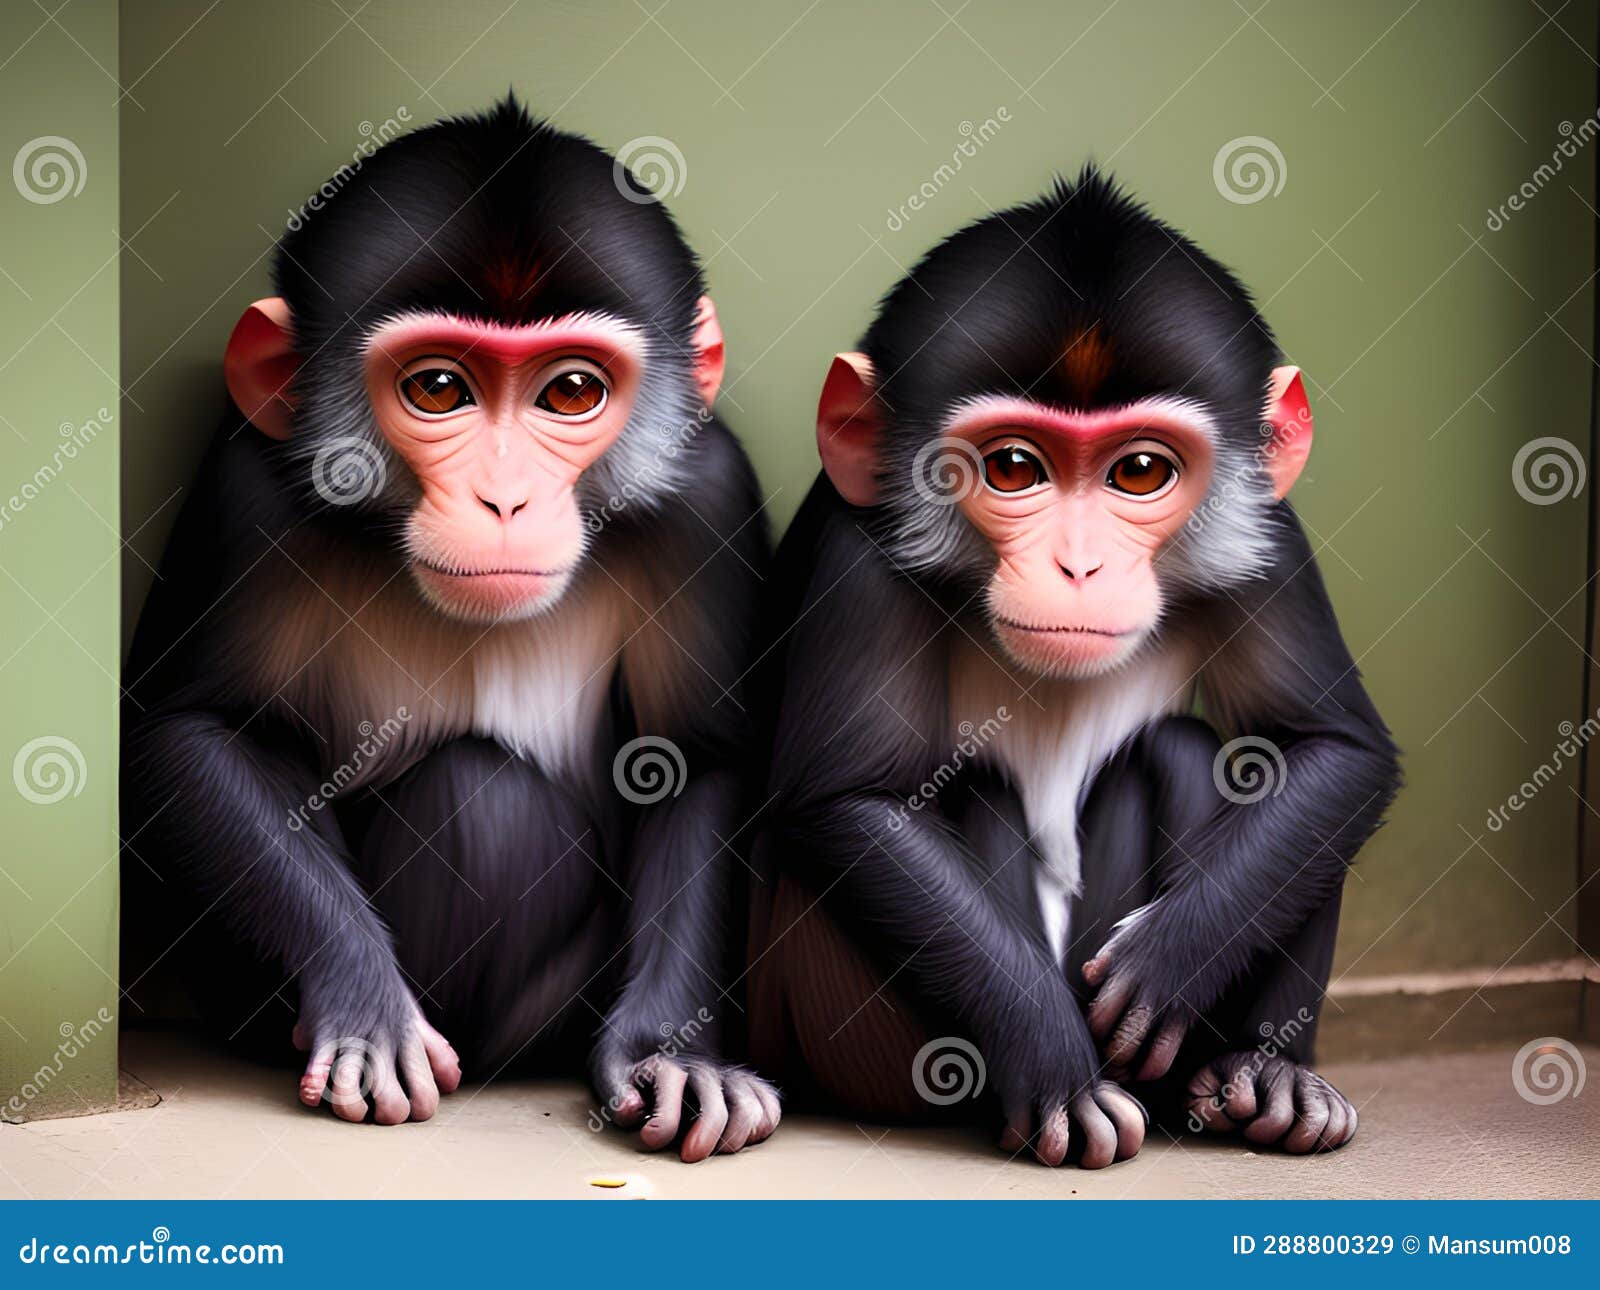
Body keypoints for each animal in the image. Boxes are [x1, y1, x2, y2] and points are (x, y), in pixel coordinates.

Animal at [121, 97, 781, 1161]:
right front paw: (366, 1008)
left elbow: (700, 756)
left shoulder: (708, 494)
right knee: (477, 792)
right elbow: (186, 728)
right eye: (437, 389)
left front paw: (673, 1055)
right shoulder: (245, 487)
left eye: (571, 392)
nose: (503, 497)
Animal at [746, 168, 1400, 1168]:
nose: (1080, 564)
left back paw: (1266, 1079)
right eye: (1015, 467)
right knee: (969, 784)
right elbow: (846, 800)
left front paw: (1177, 956)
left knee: (1210, 752)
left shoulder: (1269, 531)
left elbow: (1333, 748)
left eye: (1139, 472)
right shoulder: (868, 552)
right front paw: (1052, 1059)